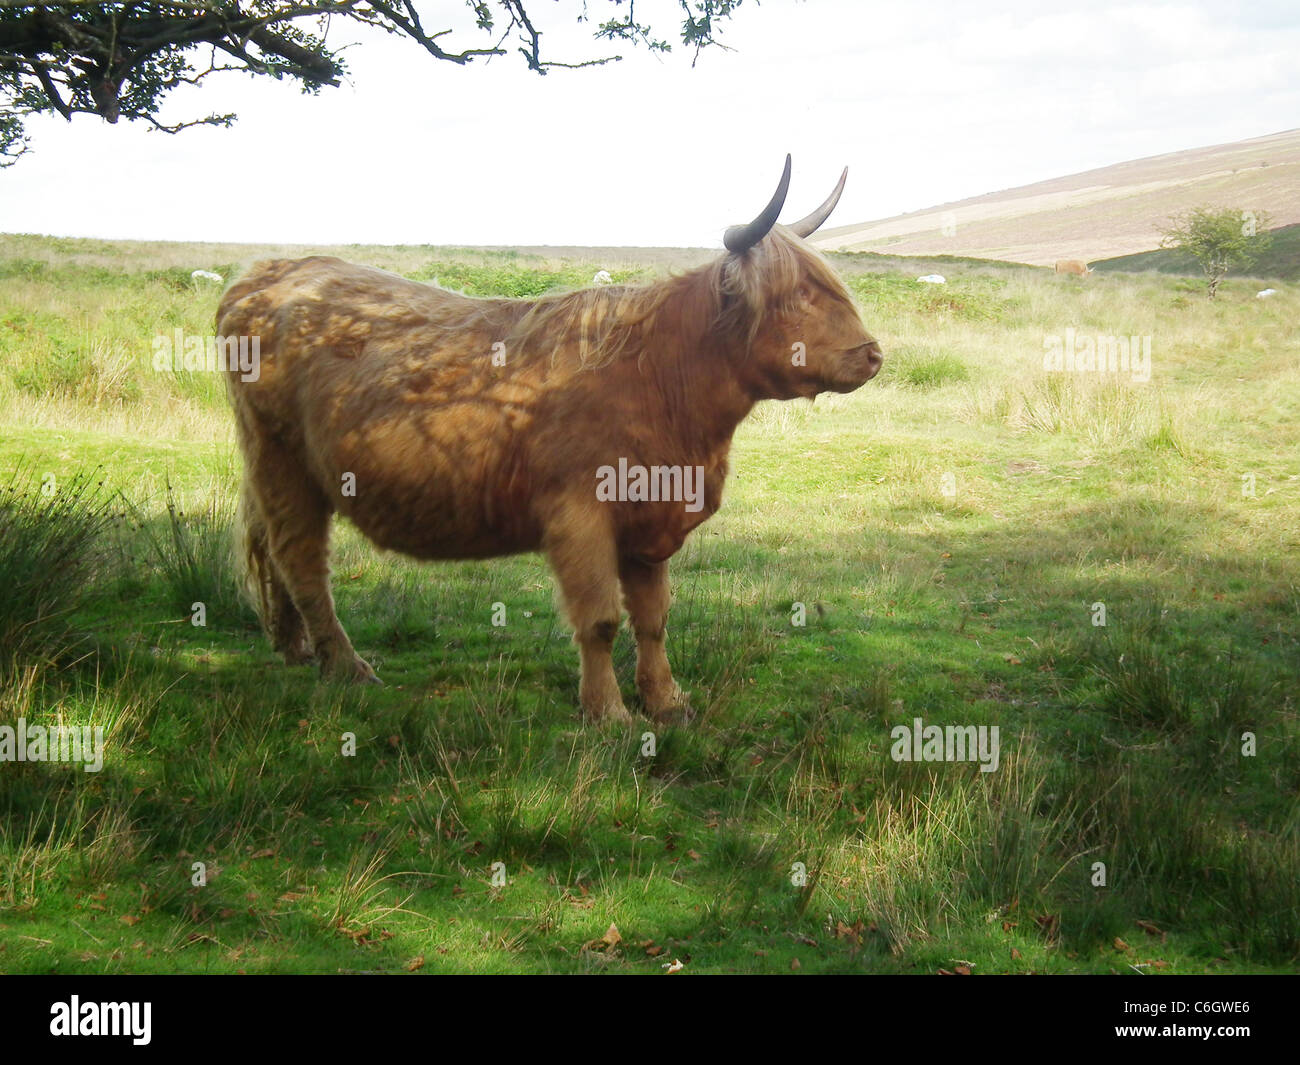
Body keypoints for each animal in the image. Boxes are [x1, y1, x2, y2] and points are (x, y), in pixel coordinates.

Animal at [218, 156, 883, 726]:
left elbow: (653, 619)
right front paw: (609, 712)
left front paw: (667, 702)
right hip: (282, 462)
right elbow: (600, 620)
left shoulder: (651, 521)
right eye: (798, 295)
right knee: (301, 559)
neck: (665, 386)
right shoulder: (580, 516)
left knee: (274, 551)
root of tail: (267, 273)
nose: (872, 354)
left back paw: (295, 647)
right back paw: (346, 666)